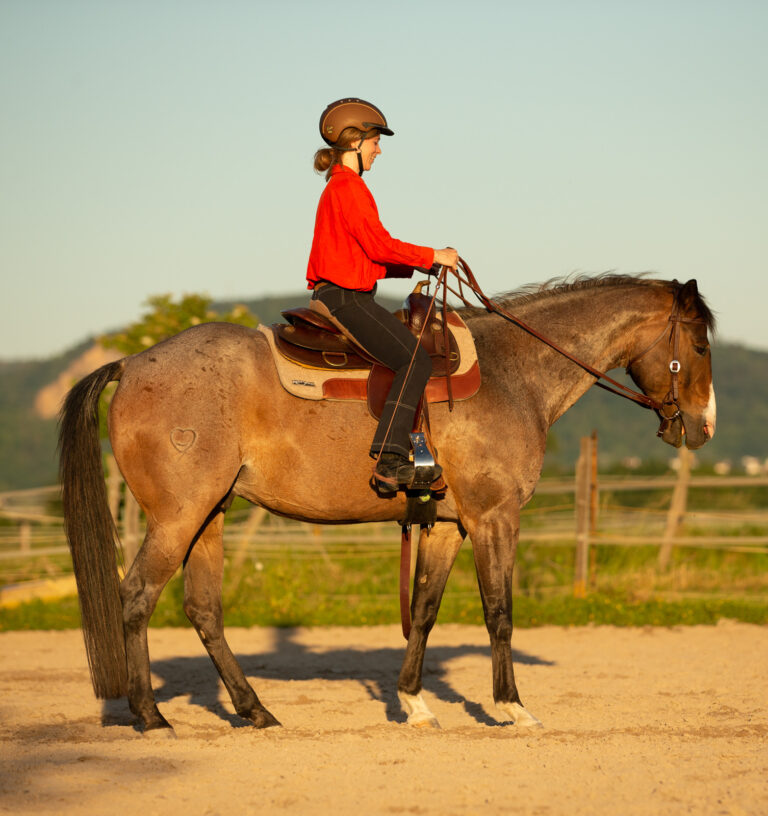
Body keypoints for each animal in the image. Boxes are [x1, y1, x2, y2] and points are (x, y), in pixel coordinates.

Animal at [59, 273, 716, 733]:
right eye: (702, 345)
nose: (704, 426)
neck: (515, 374)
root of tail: (133, 363)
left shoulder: (448, 525)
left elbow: (423, 611)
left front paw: (415, 704)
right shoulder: (494, 518)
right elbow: (499, 613)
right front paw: (513, 708)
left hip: (210, 516)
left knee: (203, 610)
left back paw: (255, 711)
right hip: (177, 518)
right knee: (135, 598)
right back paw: (150, 716)